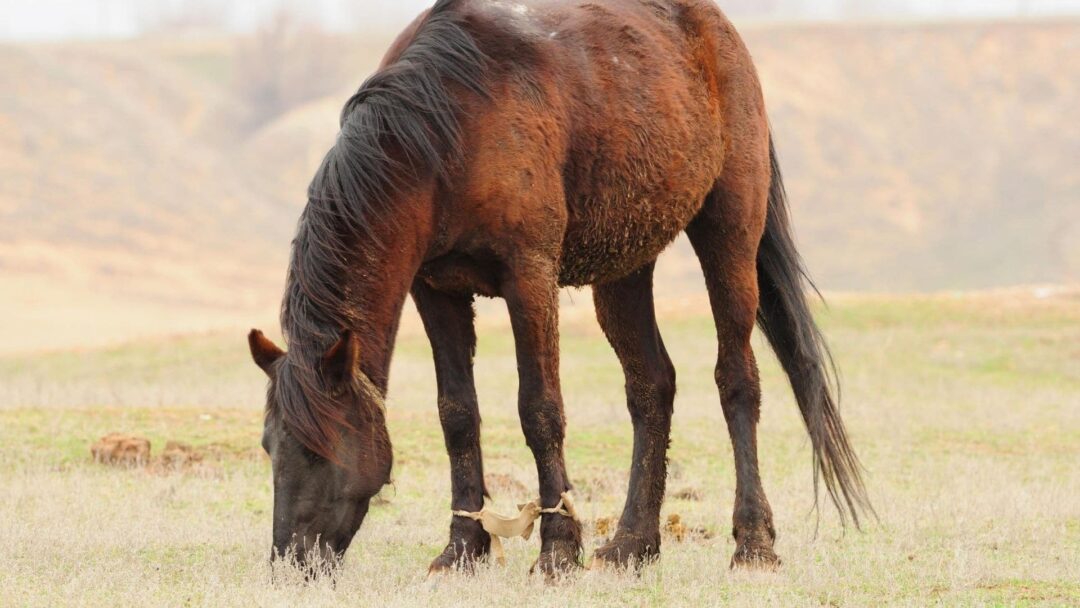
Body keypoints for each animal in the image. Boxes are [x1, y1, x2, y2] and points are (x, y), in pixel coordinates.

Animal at [247, 0, 871, 576]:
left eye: (319, 449)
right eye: (269, 447)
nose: (291, 562)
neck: (447, 130)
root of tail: (718, 30)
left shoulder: (530, 276)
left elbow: (540, 410)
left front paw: (557, 550)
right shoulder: (436, 289)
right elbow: (458, 415)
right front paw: (463, 548)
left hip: (730, 234)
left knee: (737, 379)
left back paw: (753, 543)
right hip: (624, 268)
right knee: (651, 387)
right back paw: (632, 544)